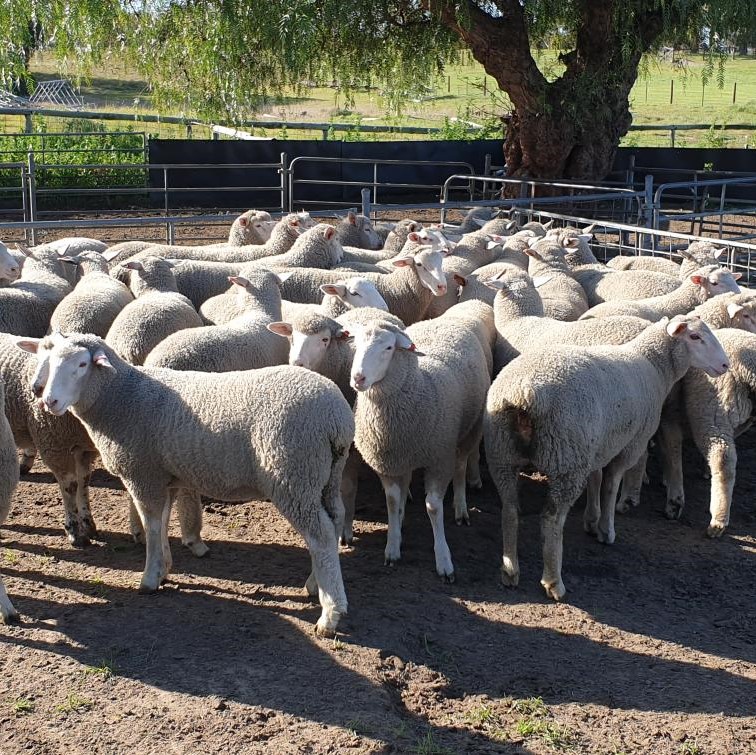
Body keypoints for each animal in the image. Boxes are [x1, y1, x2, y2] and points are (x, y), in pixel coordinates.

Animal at [23, 332, 354, 636]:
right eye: (47, 361)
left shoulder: (143, 475)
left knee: (321, 536)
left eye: (81, 364)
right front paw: (164, 570)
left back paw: (330, 614)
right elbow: (163, 522)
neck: (122, 396)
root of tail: (336, 416)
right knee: (335, 519)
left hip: (294, 476)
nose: (48, 400)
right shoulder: (164, 476)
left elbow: (151, 525)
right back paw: (315, 584)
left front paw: (149, 578)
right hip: (326, 475)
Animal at [349, 303, 492, 580]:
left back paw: (460, 508)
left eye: (388, 348)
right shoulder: (388, 461)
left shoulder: (439, 459)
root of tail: (446, 320)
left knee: (460, 467)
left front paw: (444, 561)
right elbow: (392, 502)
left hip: (468, 431)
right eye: (356, 344)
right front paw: (392, 546)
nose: (358, 378)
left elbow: (433, 507)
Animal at [484, 315, 729, 601]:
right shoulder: (630, 444)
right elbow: (611, 485)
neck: (653, 366)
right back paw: (554, 582)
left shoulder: (599, 445)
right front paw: (606, 529)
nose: (725, 365)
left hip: (503, 455)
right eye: (695, 337)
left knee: (510, 511)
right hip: (566, 461)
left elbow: (596, 479)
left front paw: (592, 520)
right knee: (551, 520)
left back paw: (510, 571)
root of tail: (521, 394)